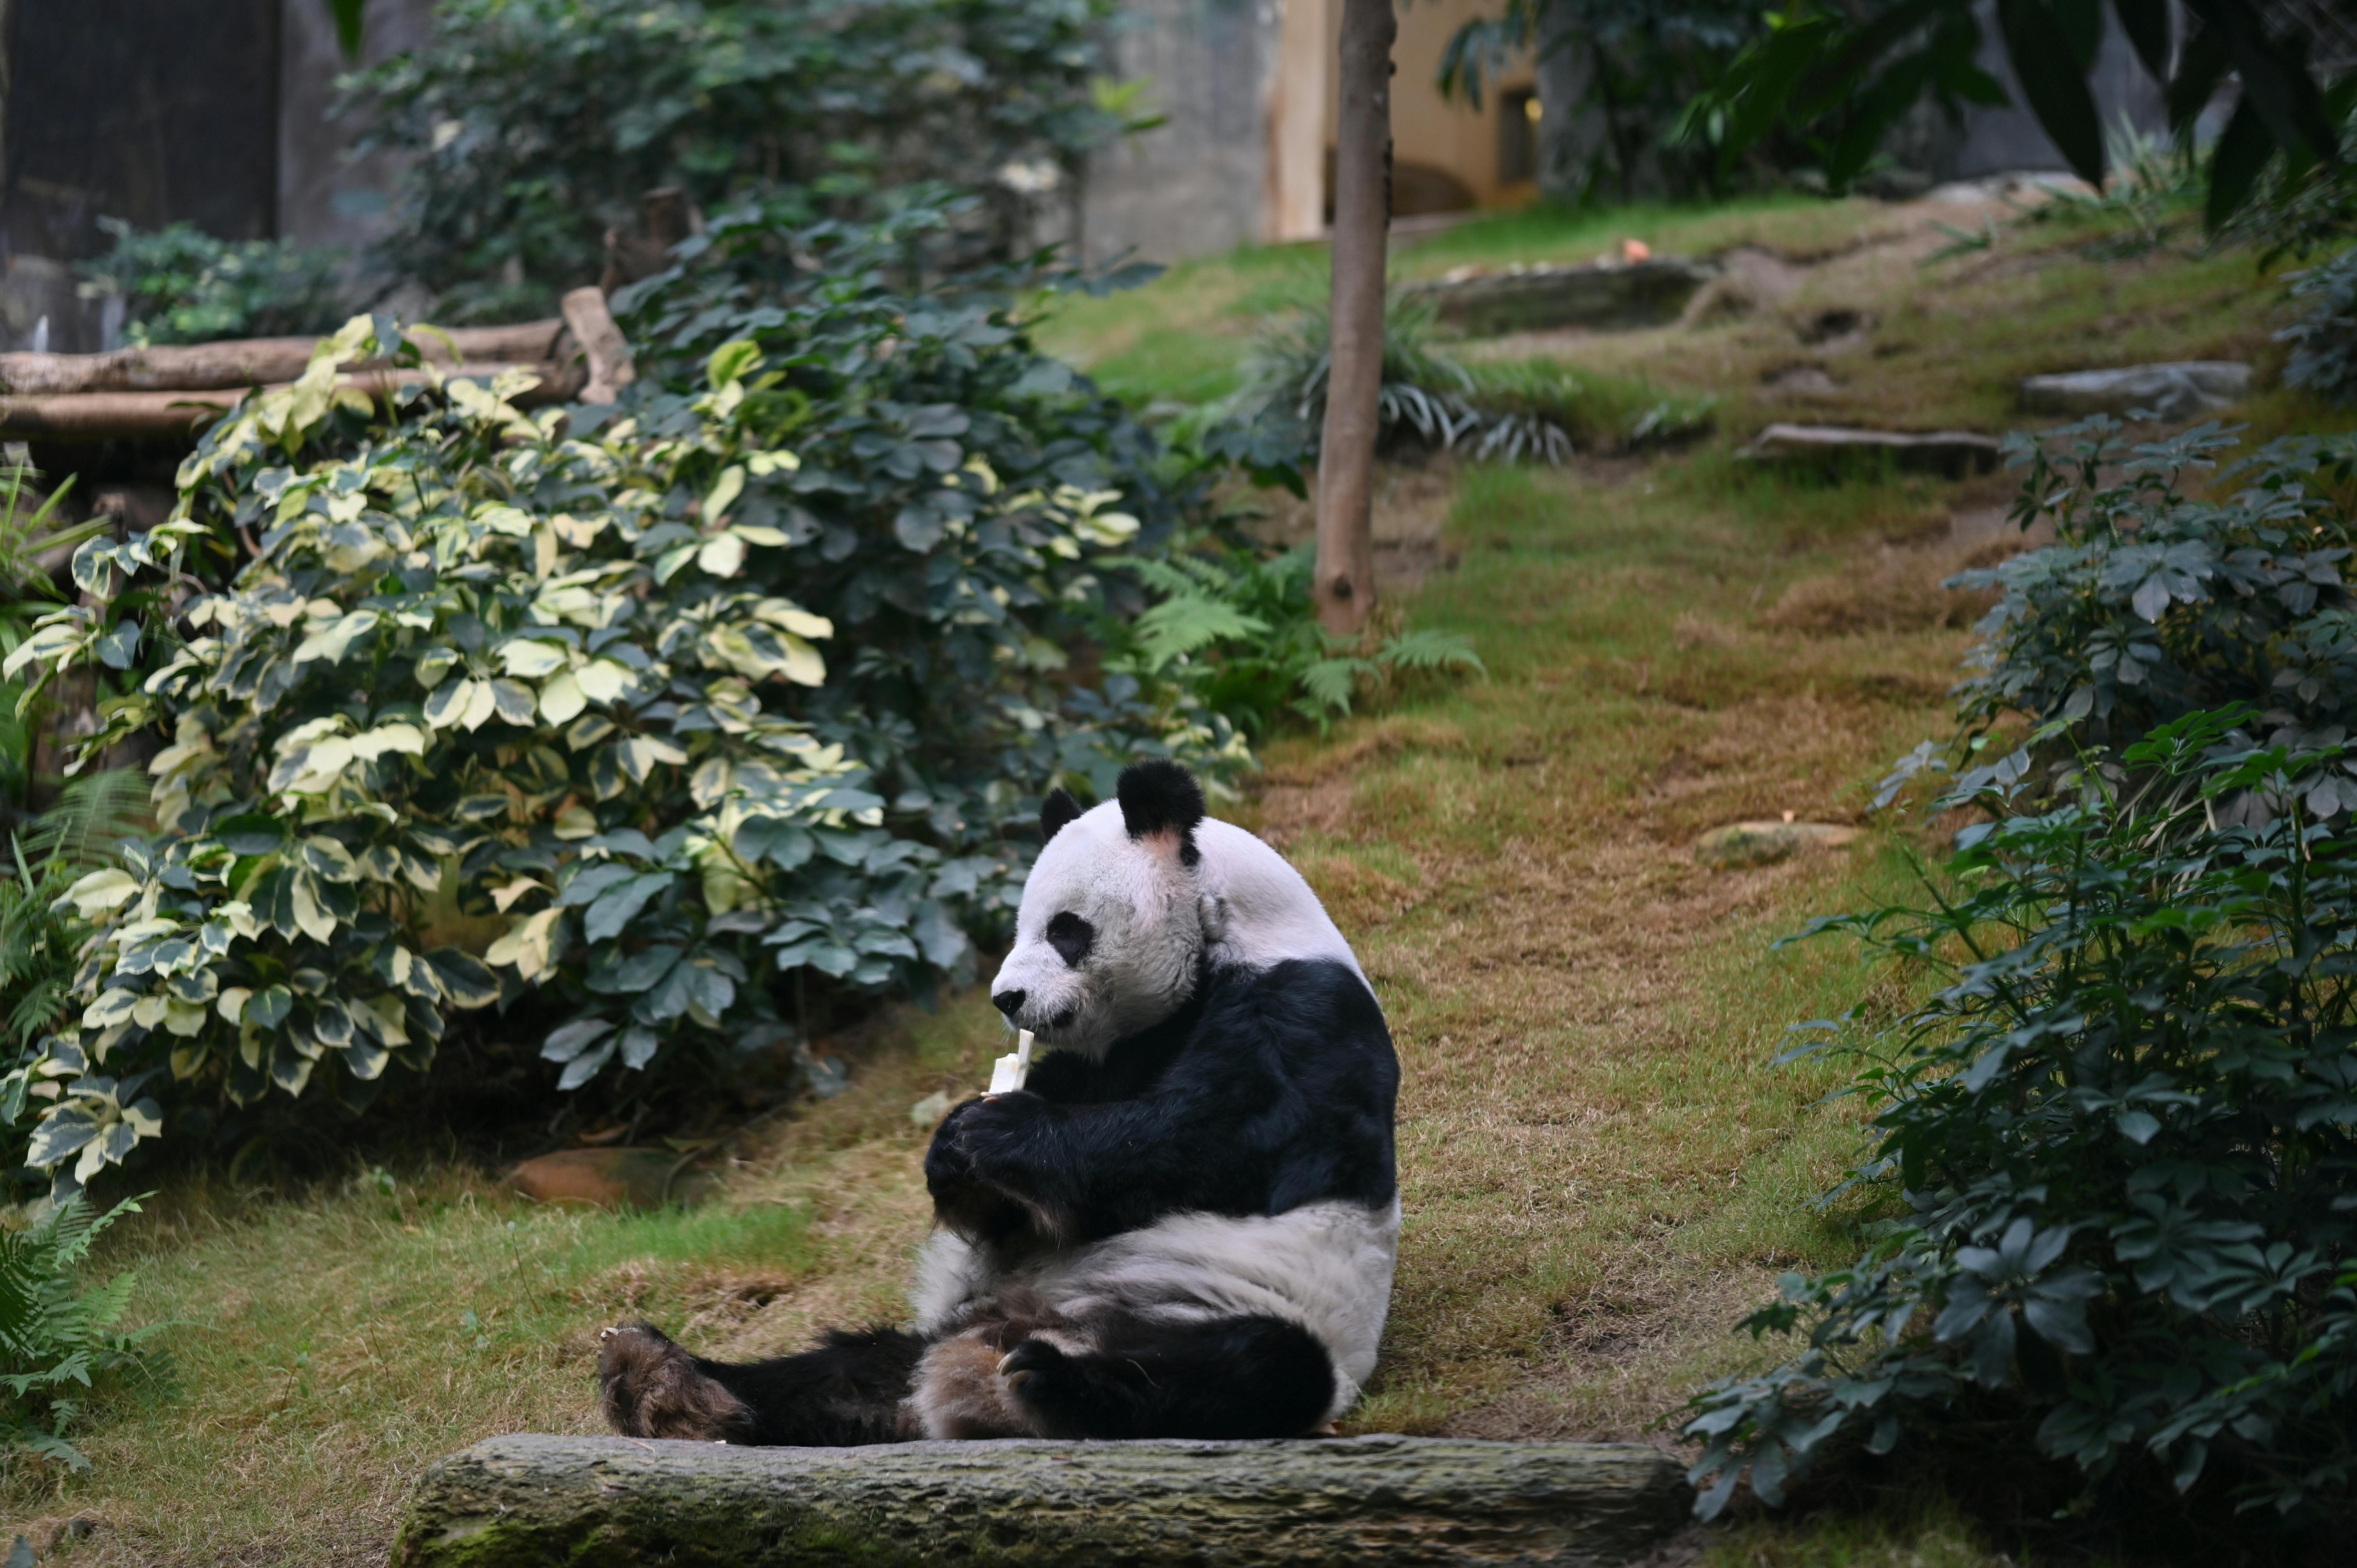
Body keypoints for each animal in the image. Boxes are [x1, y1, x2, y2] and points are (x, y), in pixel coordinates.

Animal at [596, 758, 1399, 1444]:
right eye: (1019, 927)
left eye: (1065, 930)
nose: (1006, 998)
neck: (1226, 927)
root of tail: (1000, 1338)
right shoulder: (1116, 1052)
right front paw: (952, 1148)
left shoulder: (1301, 1008)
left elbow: (1218, 1137)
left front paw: (997, 1133)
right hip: (947, 1329)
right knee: (847, 1370)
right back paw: (666, 1381)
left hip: (1241, 1304)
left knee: (1249, 1367)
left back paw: (1052, 1385)